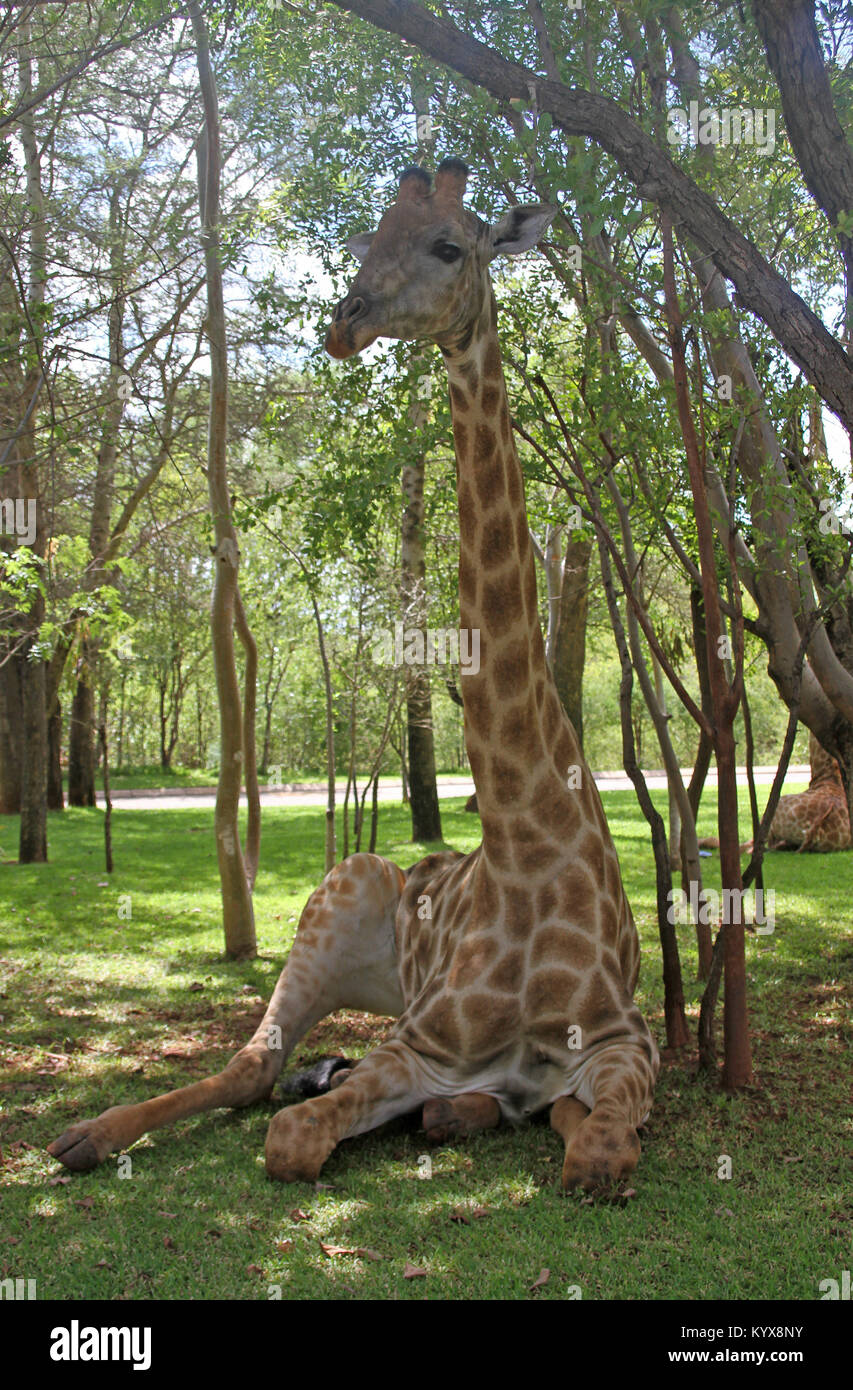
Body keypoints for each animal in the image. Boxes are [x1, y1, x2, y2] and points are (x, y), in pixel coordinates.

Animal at [47, 159, 658, 1193]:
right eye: (370, 235)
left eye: (449, 244)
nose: (345, 320)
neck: (526, 845)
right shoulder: (417, 1043)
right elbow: (294, 1138)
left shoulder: (624, 1042)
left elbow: (595, 1145)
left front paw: (525, 1114)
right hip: (335, 904)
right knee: (254, 1068)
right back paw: (86, 1134)